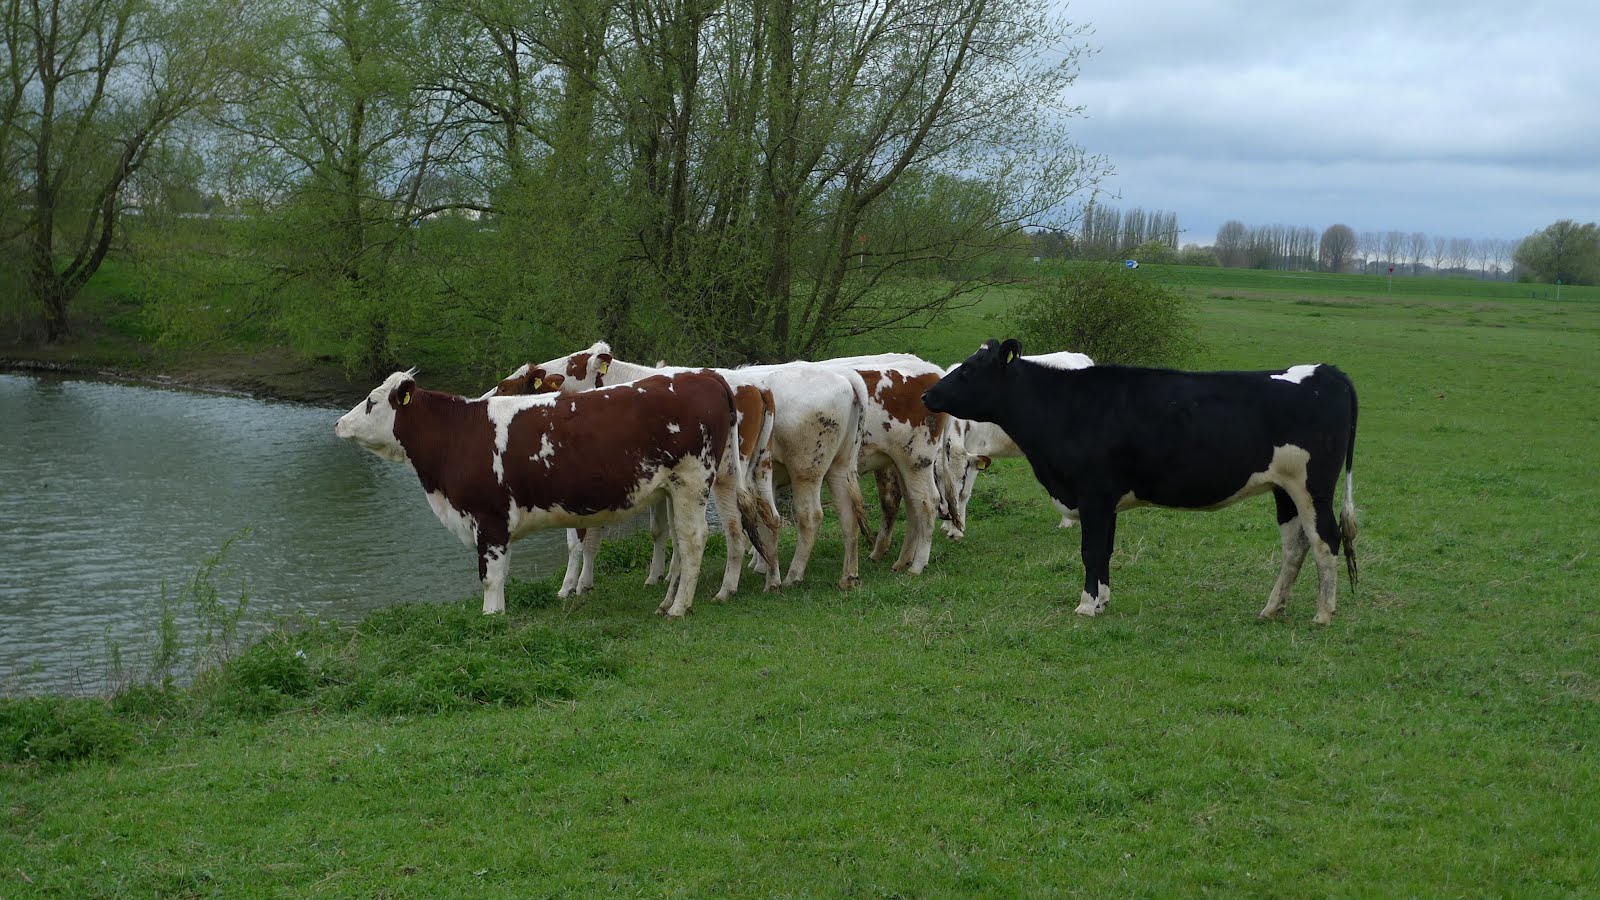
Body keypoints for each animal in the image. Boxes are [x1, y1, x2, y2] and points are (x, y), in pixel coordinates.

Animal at [335, 369, 772, 617]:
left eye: (371, 401)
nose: (338, 423)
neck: (458, 435)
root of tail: (705, 377)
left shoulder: (489, 519)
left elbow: (490, 577)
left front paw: (491, 619)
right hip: (708, 481)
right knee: (718, 535)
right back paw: (684, 598)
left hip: (691, 480)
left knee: (694, 540)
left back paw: (679, 608)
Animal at [506, 343, 867, 590]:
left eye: (573, 364)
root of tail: (844, 377)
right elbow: (661, 530)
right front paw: (659, 575)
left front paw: (578, 585)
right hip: (832, 466)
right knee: (843, 513)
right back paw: (845, 573)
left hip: (806, 469)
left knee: (810, 517)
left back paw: (792, 575)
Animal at [922, 339, 1358, 624]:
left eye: (969, 370)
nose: (927, 395)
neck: (1065, 407)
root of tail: (1326, 371)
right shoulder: (1107, 501)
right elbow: (1105, 552)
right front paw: (1102, 602)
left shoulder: (1093, 494)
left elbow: (1091, 551)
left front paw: (1086, 606)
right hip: (1285, 490)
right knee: (1295, 545)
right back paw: (1272, 608)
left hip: (1313, 487)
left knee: (1326, 540)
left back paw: (1323, 614)